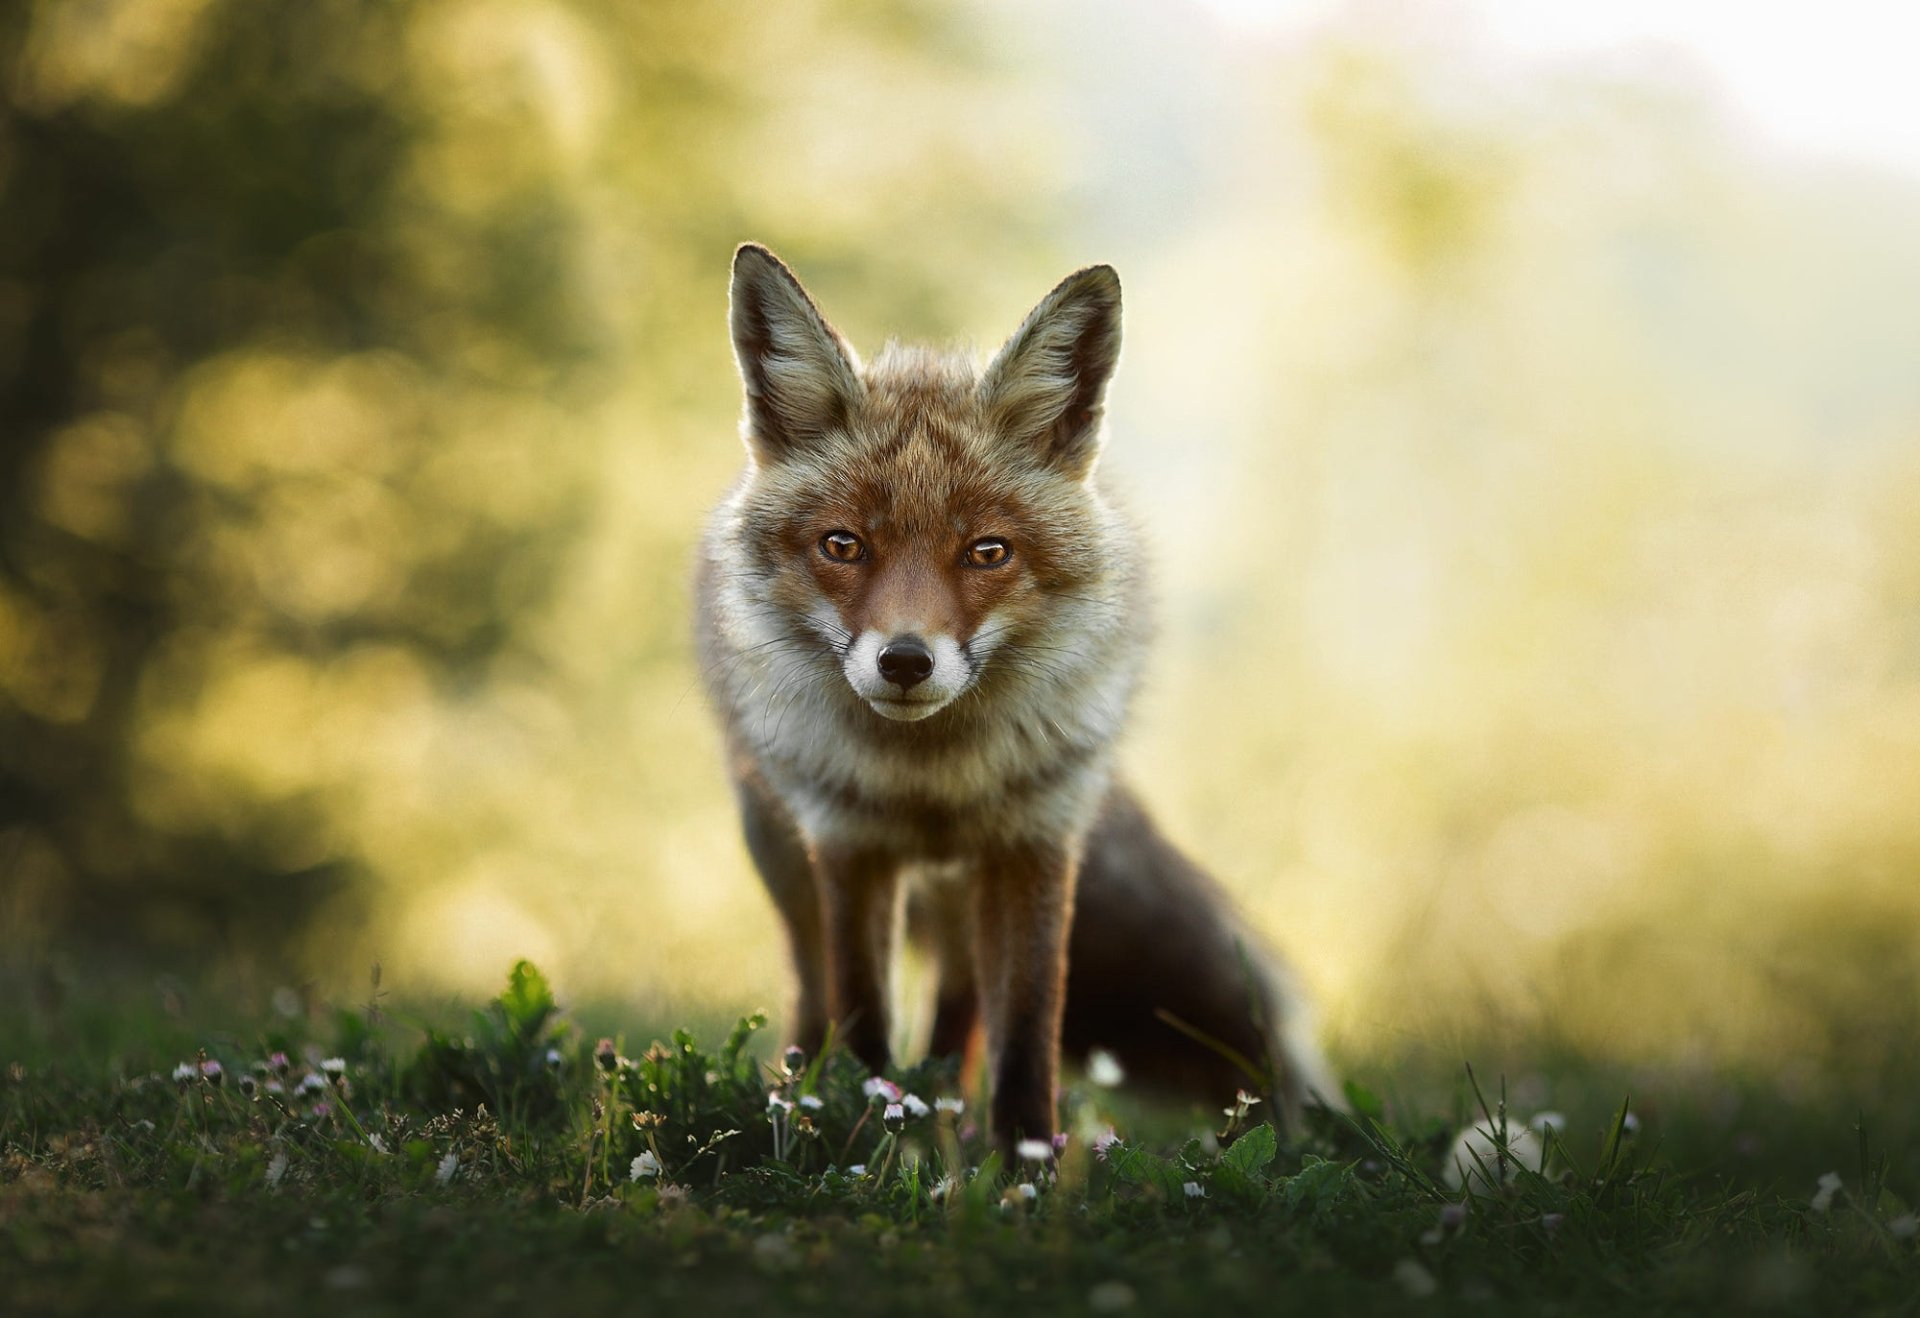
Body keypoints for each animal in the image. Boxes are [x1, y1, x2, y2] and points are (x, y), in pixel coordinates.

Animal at [696, 243, 1339, 1149]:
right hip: (780, 852)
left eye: (987, 551)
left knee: (960, 1020)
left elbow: (1029, 1029)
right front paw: (857, 1139)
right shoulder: (848, 843)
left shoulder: (1037, 837)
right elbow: (861, 1020)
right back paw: (805, 1098)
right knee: (815, 993)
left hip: (966, 890)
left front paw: (1025, 1164)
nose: (904, 661)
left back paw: (949, 1122)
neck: (932, 780)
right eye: (843, 545)